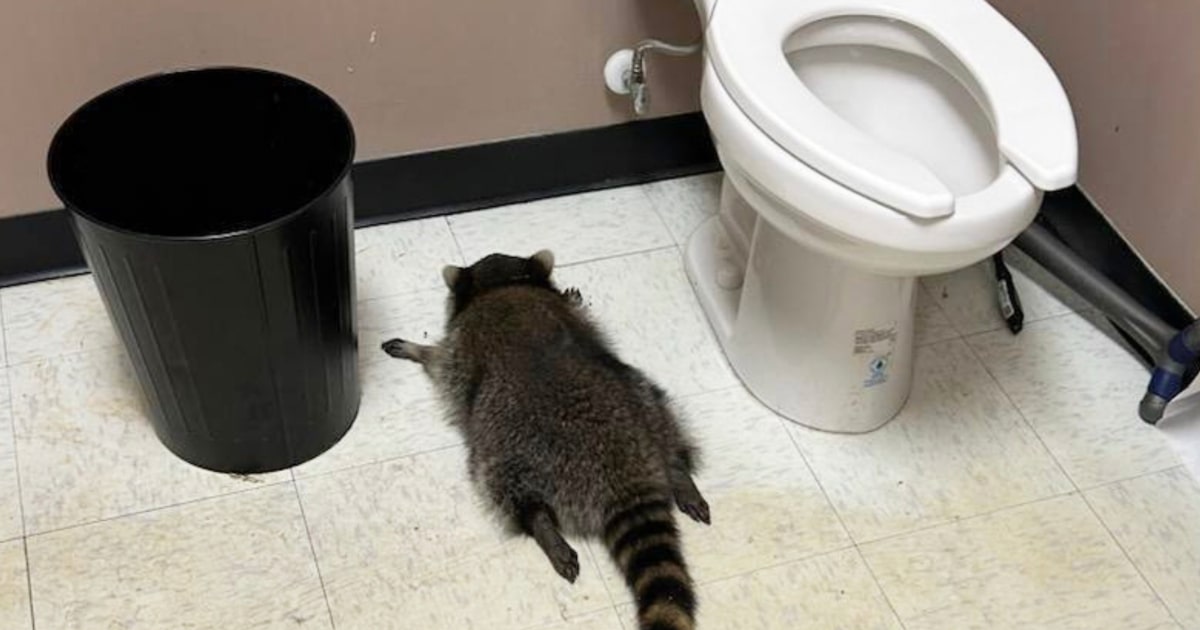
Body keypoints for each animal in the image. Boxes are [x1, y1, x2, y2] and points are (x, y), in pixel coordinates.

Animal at [382, 250, 710, 630]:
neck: (503, 284)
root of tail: (623, 474)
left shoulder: (460, 348)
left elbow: (439, 361)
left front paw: (418, 349)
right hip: (643, 398)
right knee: (665, 421)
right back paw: (678, 472)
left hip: (510, 447)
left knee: (503, 486)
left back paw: (541, 525)